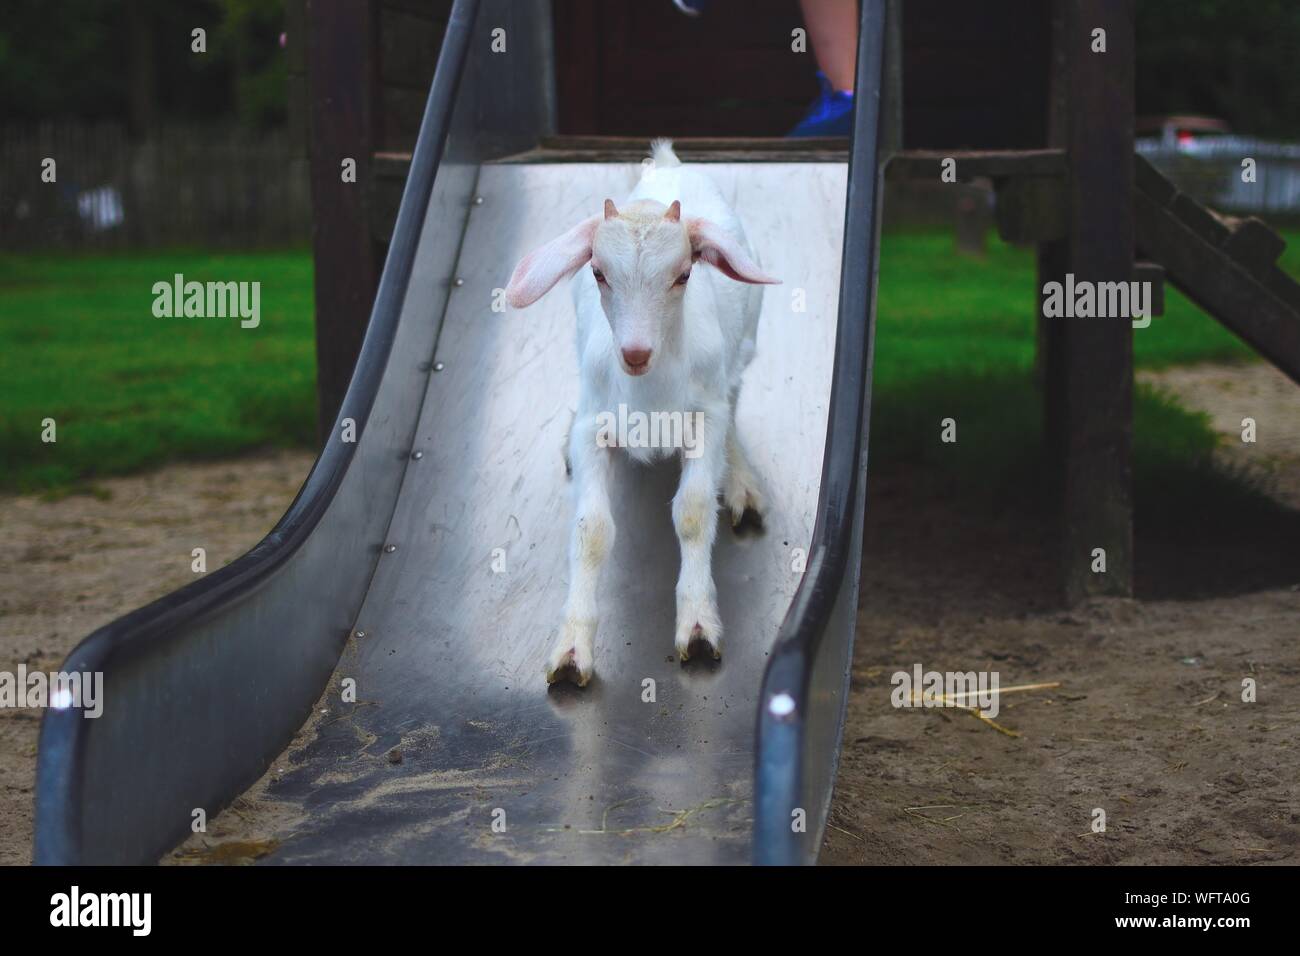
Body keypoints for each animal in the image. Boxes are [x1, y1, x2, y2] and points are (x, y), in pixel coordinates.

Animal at [504, 140, 779, 687]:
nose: (634, 352)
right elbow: (591, 529)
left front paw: (698, 630)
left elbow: (693, 510)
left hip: (744, 347)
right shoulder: (596, 427)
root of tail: (669, 166)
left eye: (684, 274)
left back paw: (741, 481)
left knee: (734, 401)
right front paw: (571, 651)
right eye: (598, 272)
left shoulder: (703, 419)